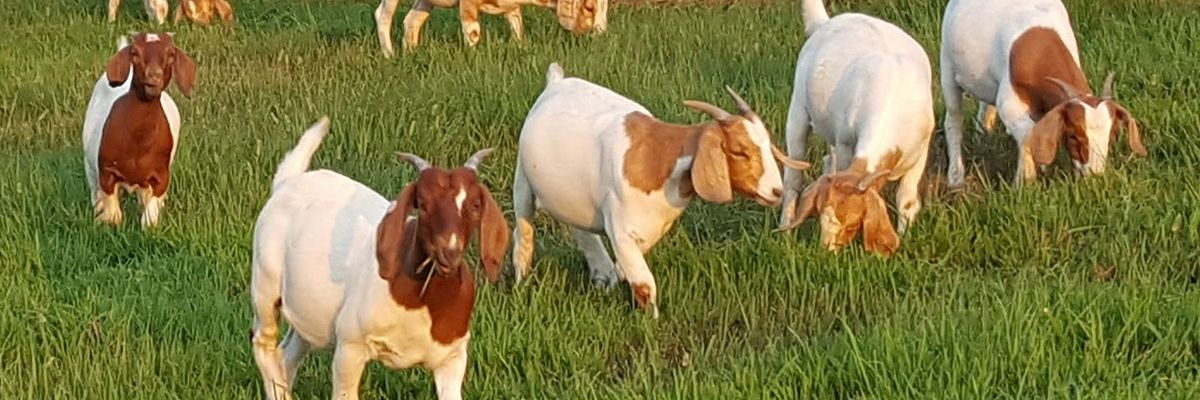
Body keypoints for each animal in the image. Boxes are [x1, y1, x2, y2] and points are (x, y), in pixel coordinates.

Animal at [82, 32, 196, 228]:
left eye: (171, 54)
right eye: (135, 53)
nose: (154, 76)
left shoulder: (161, 177)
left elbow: (149, 216)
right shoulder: (106, 171)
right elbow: (113, 213)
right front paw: (108, 224)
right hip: (90, 165)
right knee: (95, 192)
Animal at [250, 118, 510, 400]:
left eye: (475, 205)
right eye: (422, 203)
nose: (448, 252)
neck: (420, 301)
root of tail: (287, 183)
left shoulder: (452, 358)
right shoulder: (350, 345)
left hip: (309, 310)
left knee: (287, 354)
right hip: (265, 282)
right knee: (263, 342)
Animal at [511, 63, 810, 317]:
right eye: (739, 151)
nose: (776, 191)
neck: (658, 159)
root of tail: (556, 82)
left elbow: (629, 269)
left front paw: (614, 277)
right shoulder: (621, 228)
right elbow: (645, 284)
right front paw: (650, 323)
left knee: (582, 232)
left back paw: (601, 275)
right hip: (522, 183)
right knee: (524, 234)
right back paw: (521, 280)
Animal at [776, 0, 934, 256]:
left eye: (852, 223)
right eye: (821, 218)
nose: (826, 251)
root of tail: (828, 22)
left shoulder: (919, 151)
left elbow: (907, 199)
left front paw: (905, 235)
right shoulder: (845, 143)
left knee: (825, 161)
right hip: (798, 110)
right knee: (793, 177)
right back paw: (786, 228)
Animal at [941, 0, 1146, 189]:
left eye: (1112, 135)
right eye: (1073, 136)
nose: (1095, 175)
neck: (1040, 49)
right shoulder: (1009, 105)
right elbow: (1029, 134)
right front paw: (1024, 182)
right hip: (947, 69)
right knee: (953, 120)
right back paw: (956, 177)